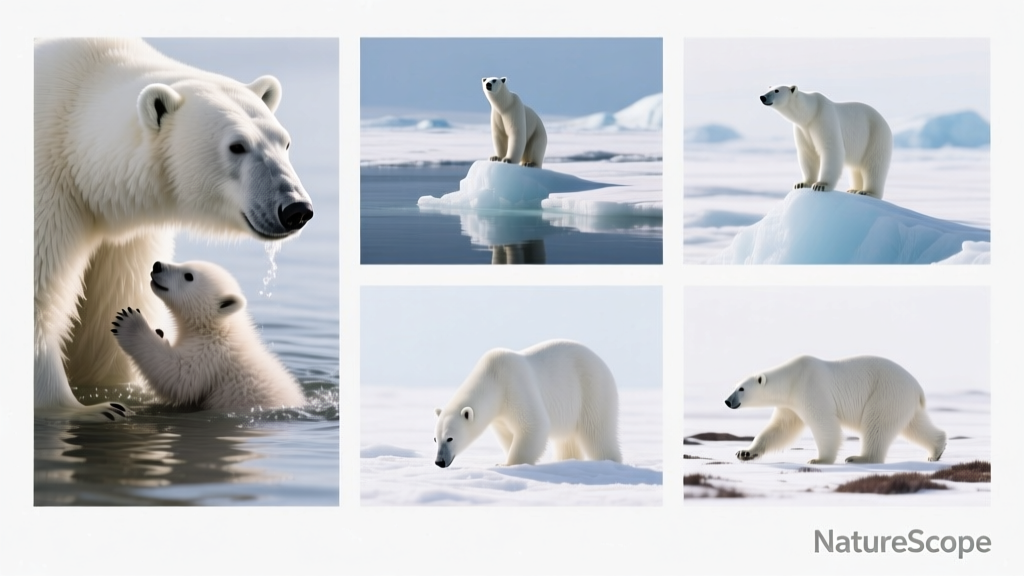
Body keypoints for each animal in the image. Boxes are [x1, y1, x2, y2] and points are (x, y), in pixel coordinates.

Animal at [111, 260, 305, 411]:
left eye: (188, 276)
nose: (157, 265)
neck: (220, 328)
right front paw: (159, 333)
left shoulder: (212, 355)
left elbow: (179, 375)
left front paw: (129, 322)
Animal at [433, 339, 622, 468]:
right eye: (435, 438)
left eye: (450, 438)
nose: (439, 461)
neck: (494, 378)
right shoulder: (500, 416)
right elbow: (507, 435)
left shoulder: (515, 386)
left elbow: (533, 425)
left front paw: (509, 464)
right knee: (567, 441)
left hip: (592, 390)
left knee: (597, 431)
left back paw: (610, 461)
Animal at [723, 355, 946, 464]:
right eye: (735, 386)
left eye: (741, 389)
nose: (727, 401)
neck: (792, 378)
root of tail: (917, 387)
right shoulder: (790, 404)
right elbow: (780, 429)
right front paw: (745, 452)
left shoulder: (810, 386)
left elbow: (824, 424)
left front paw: (819, 459)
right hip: (901, 401)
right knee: (914, 425)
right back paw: (936, 451)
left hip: (885, 393)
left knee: (877, 425)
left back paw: (859, 458)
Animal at [760, 85, 893, 199]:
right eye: (769, 88)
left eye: (777, 90)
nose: (762, 97)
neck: (810, 112)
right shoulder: (802, 129)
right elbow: (807, 153)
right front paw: (802, 184)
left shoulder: (823, 119)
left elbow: (831, 149)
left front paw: (820, 185)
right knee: (855, 168)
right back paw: (853, 189)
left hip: (876, 136)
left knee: (874, 165)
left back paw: (867, 192)